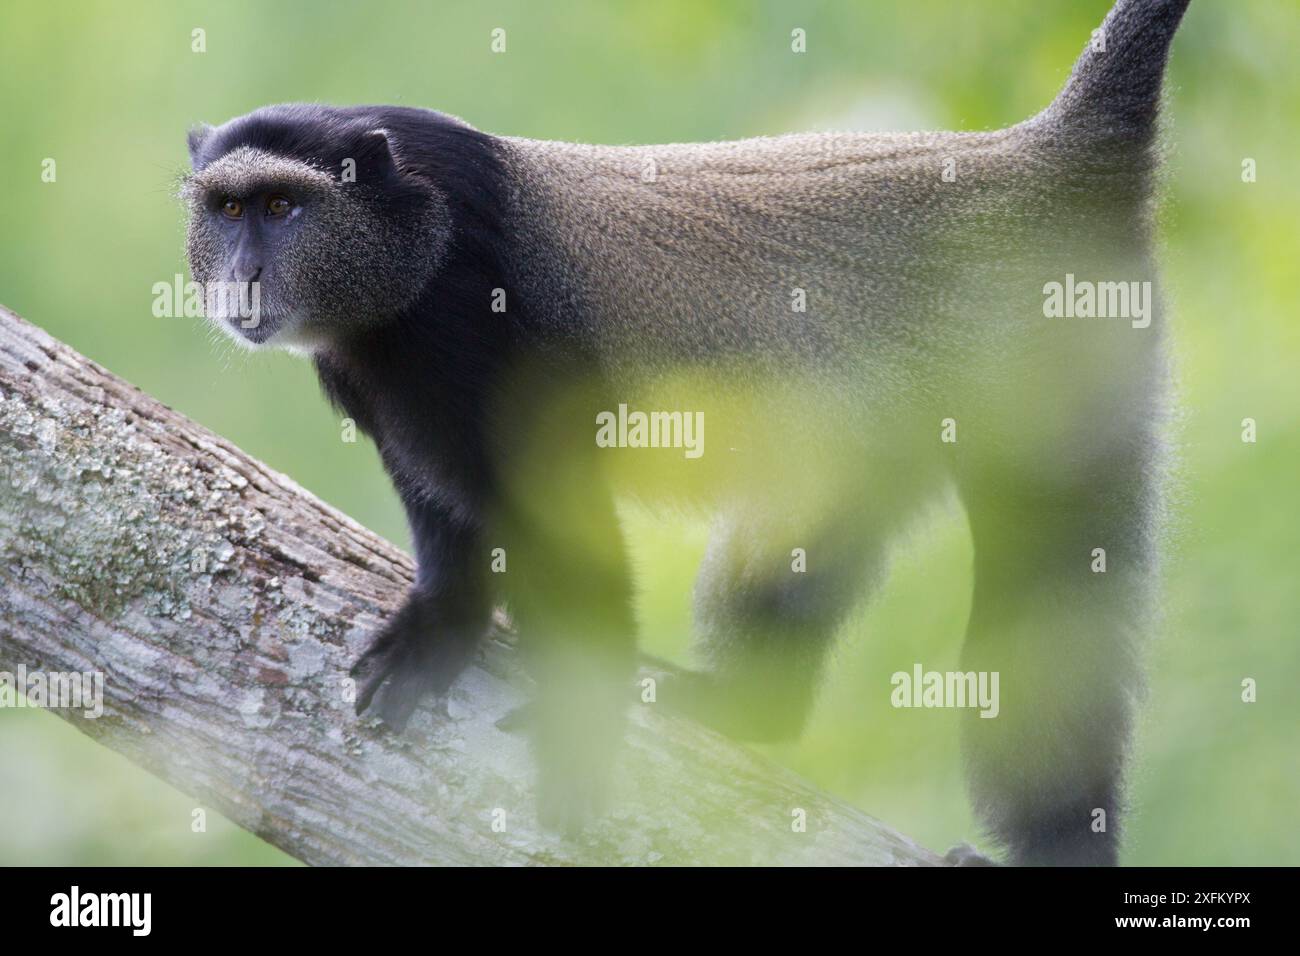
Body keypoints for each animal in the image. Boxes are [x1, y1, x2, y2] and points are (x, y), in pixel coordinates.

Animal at [183, 0, 1190, 864]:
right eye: (226, 210)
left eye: (281, 207)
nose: (242, 276)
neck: (409, 234)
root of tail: (1041, 158)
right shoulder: (389, 394)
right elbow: (445, 506)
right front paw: (443, 623)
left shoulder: (470, 329)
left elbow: (554, 522)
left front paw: (581, 736)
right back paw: (750, 706)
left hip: (1051, 379)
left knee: (1045, 588)